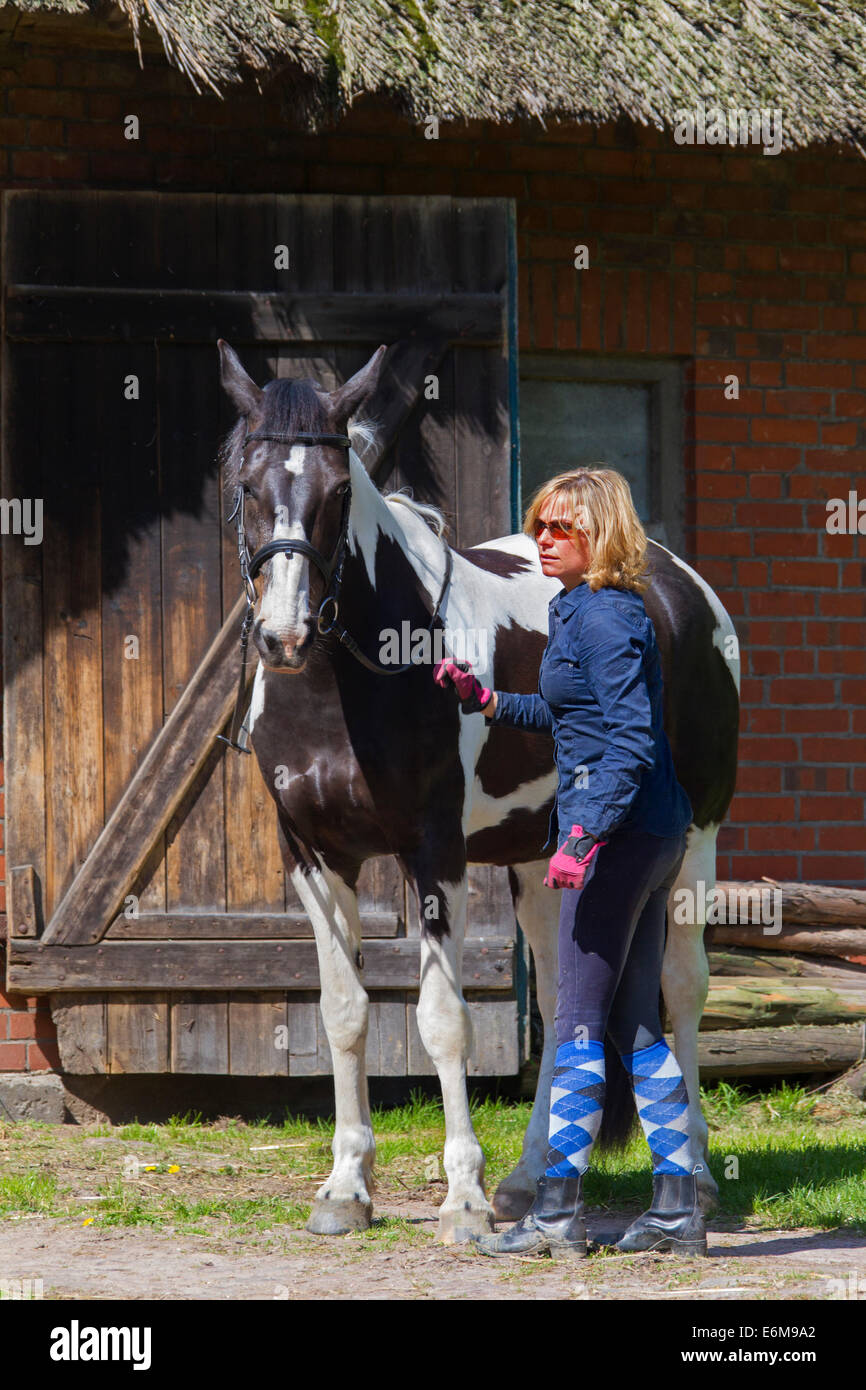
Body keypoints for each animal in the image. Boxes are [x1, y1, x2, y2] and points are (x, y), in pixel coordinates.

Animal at [217, 340, 740, 1243]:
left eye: (337, 490)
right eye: (247, 485)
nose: (283, 636)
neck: (358, 677)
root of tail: (681, 586)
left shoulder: (434, 854)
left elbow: (443, 1021)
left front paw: (461, 1198)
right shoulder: (315, 856)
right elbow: (344, 1012)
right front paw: (346, 1189)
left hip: (693, 845)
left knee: (681, 989)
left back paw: (696, 1178)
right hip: (540, 861)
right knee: (564, 999)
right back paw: (530, 1182)